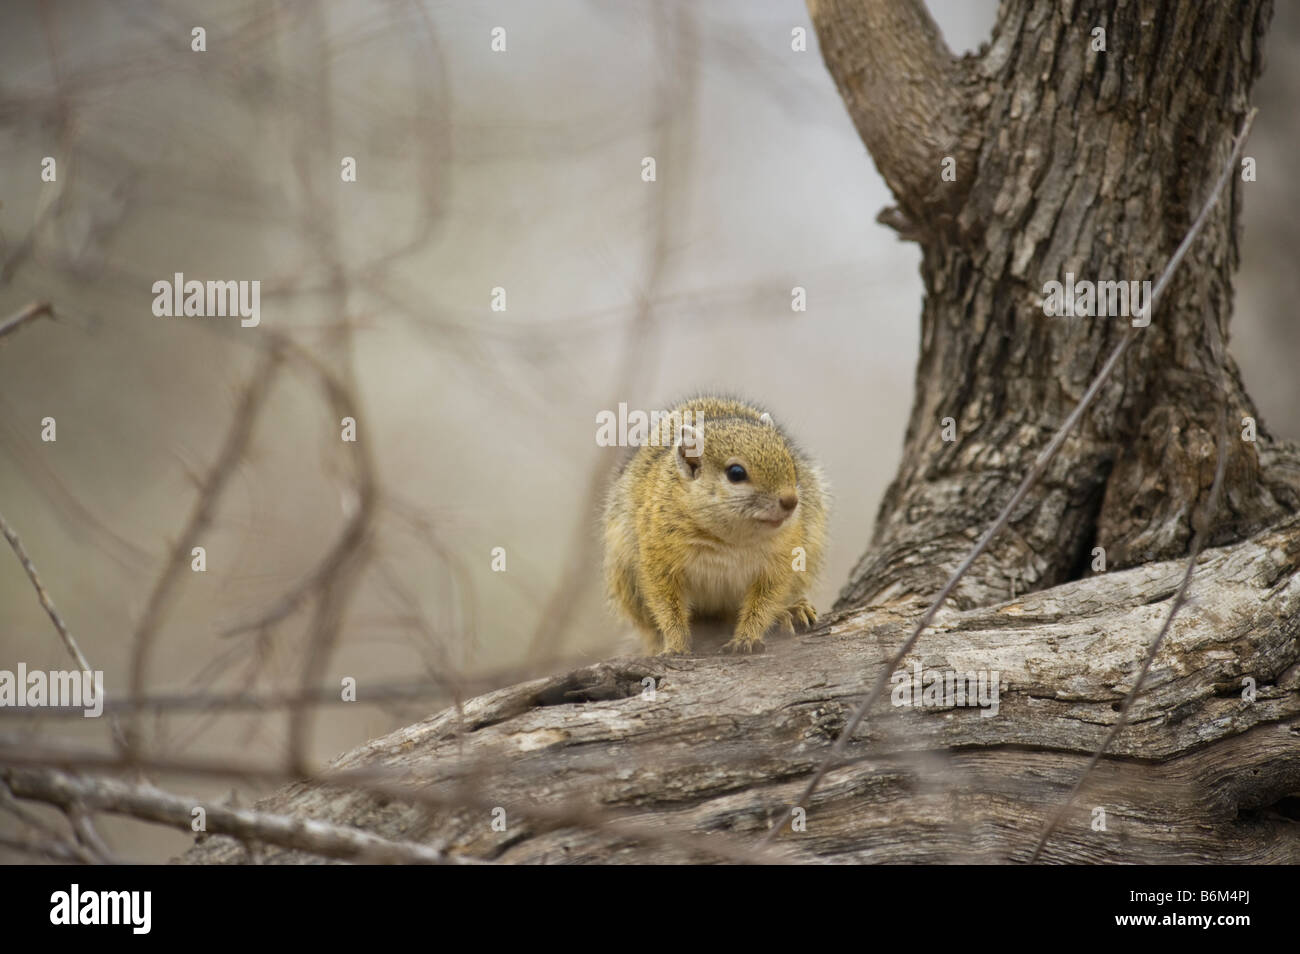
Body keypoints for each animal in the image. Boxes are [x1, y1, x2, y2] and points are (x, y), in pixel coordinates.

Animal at [603, 396, 828, 655]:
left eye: (791, 462)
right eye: (736, 473)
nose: (791, 501)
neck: (731, 538)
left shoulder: (782, 558)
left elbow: (764, 602)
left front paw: (747, 637)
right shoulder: (657, 556)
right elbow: (666, 605)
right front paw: (675, 645)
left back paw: (790, 611)